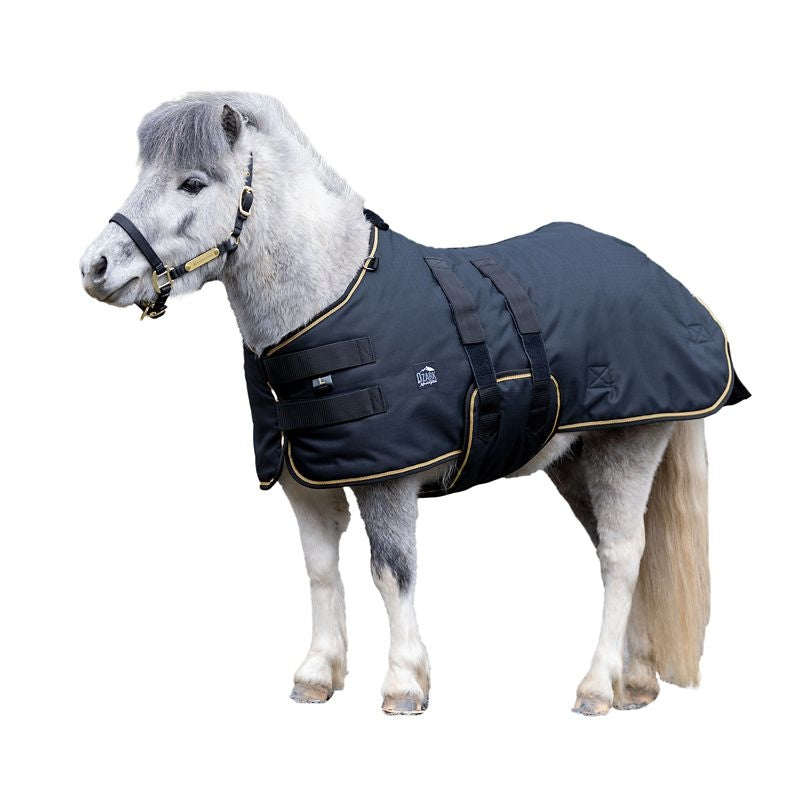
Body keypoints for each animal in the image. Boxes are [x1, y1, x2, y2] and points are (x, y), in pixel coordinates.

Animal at [80, 92, 730, 716]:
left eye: (192, 183)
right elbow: (321, 569)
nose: (95, 267)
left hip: (629, 442)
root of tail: (667, 283)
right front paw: (317, 674)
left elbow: (392, 573)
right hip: (575, 461)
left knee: (622, 556)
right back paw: (635, 681)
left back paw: (596, 688)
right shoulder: (303, 480)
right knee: (621, 551)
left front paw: (403, 685)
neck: (329, 302)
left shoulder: (387, 481)